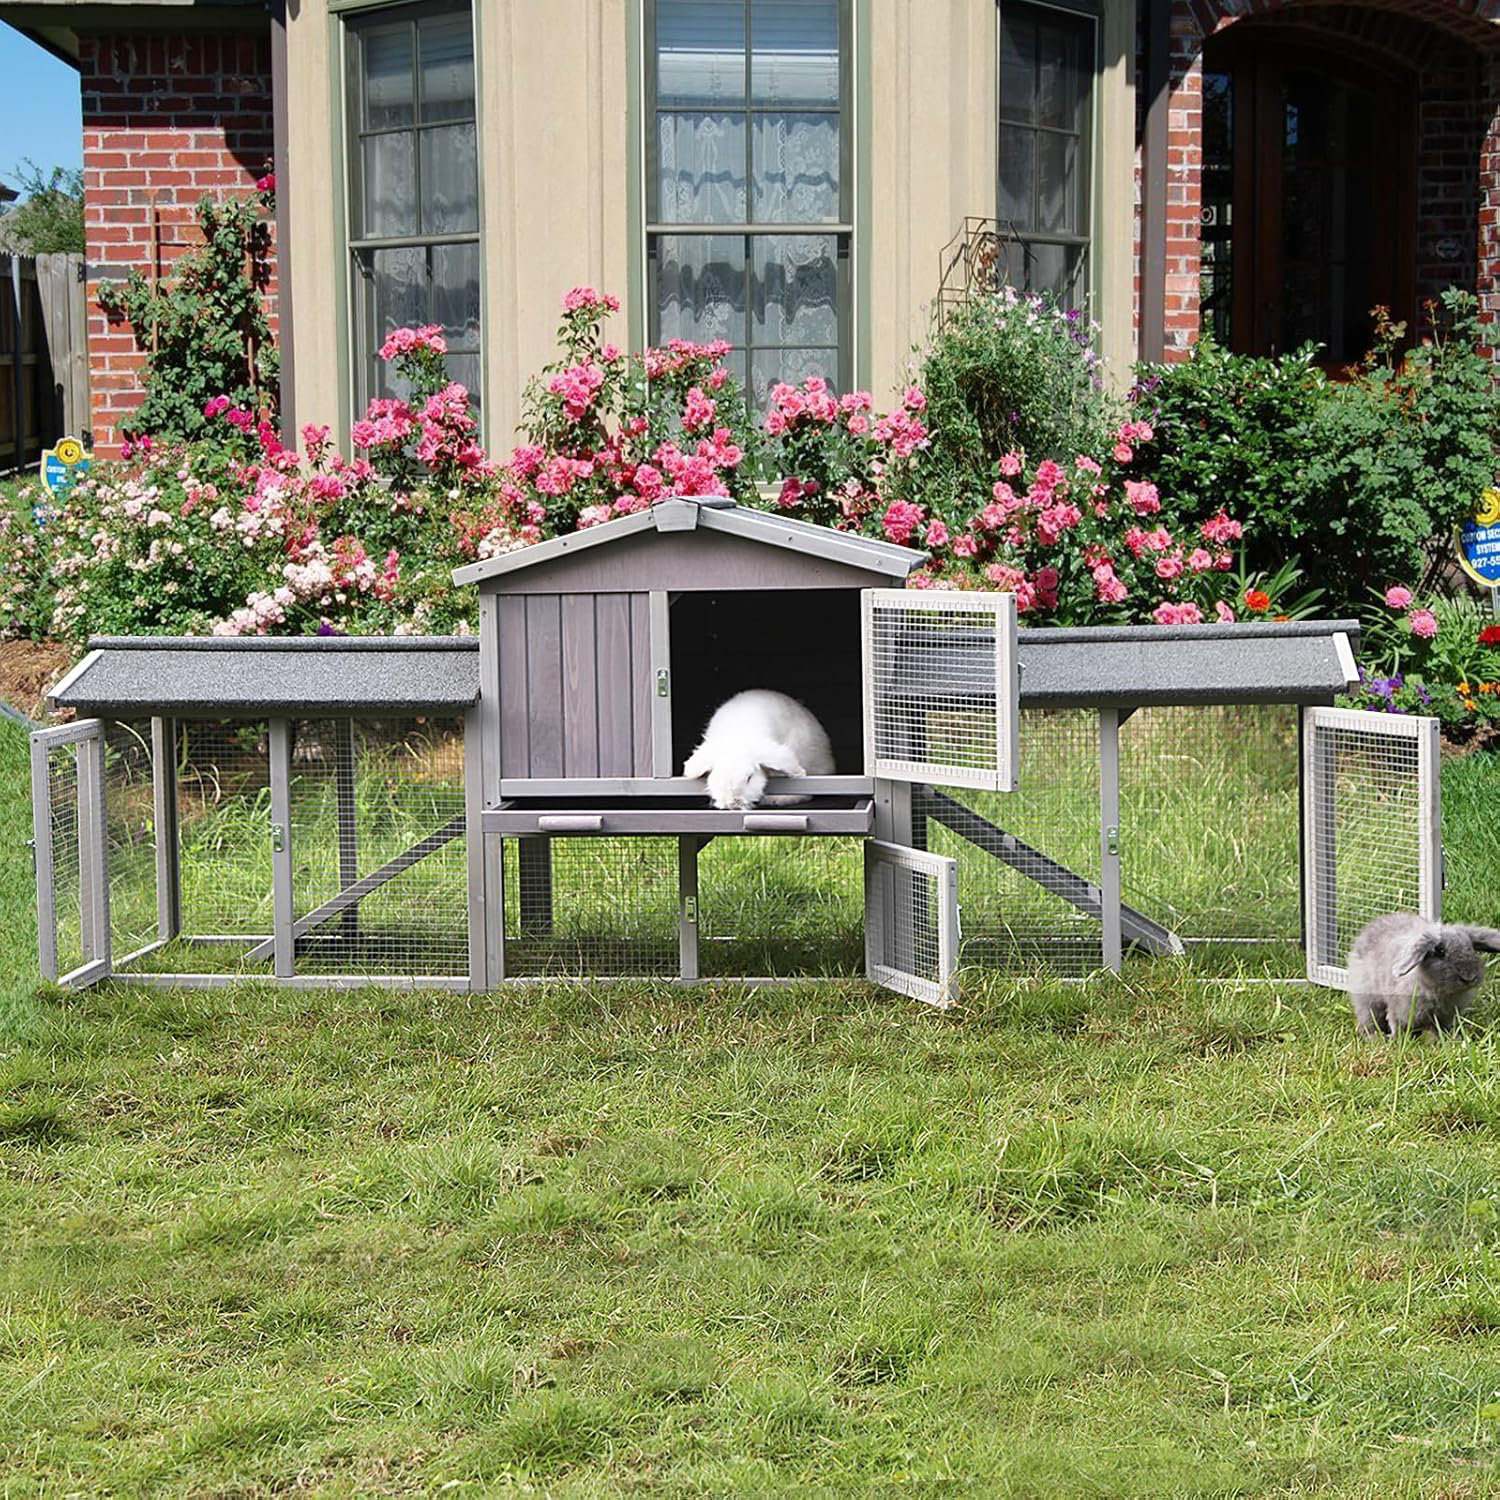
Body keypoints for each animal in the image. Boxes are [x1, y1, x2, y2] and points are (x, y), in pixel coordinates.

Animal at [1346, 913, 1500, 1037]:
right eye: (1440, 952)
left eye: (1471, 948)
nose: (1469, 977)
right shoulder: (1398, 1010)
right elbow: (1395, 1024)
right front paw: (1397, 1041)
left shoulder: (1445, 1018)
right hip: (1366, 1001)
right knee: (1368, 1021)